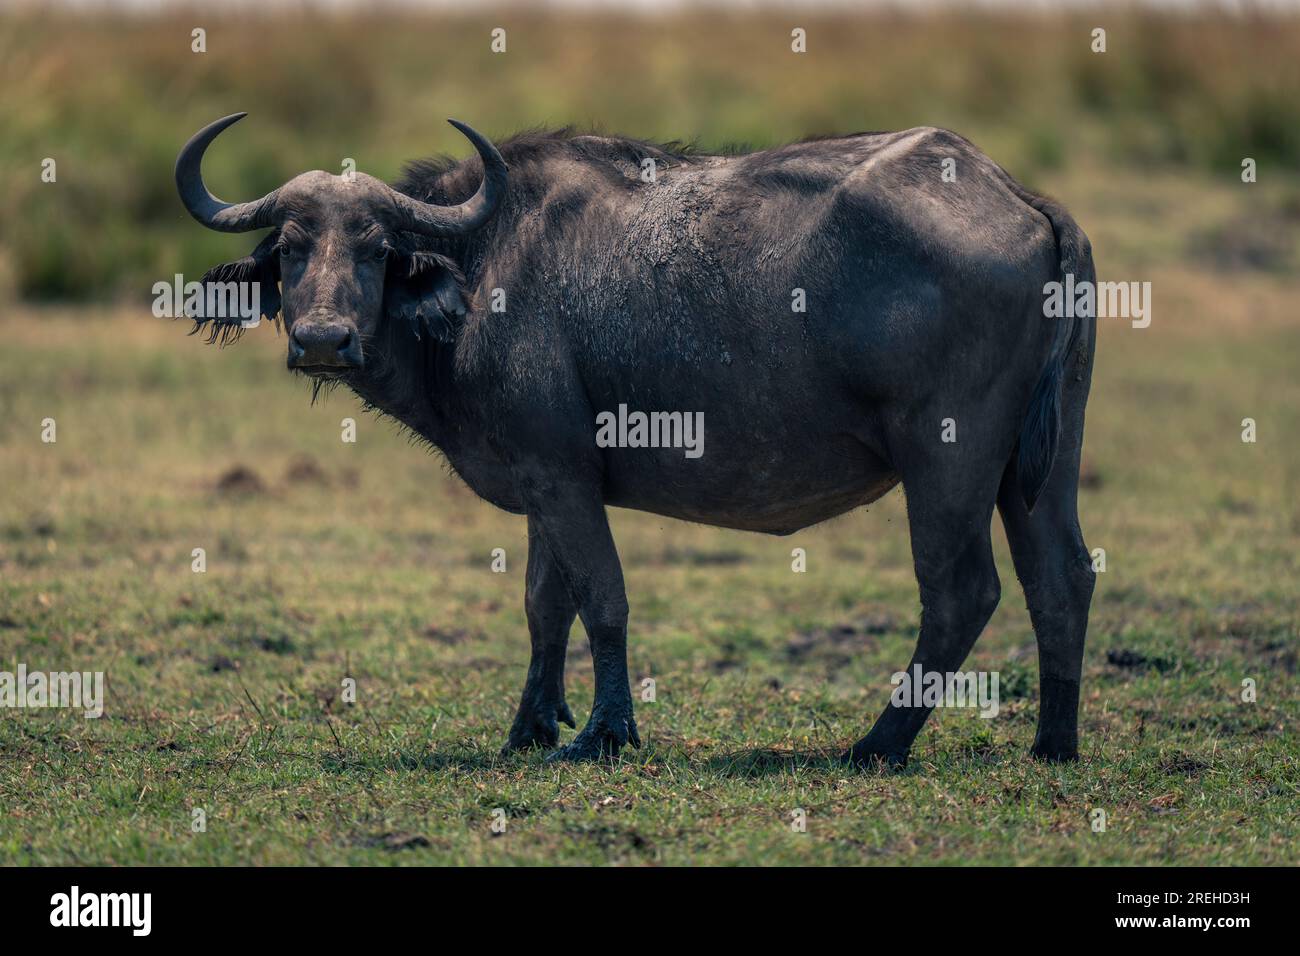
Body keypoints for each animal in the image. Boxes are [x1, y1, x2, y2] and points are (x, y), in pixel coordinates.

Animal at [175, 114, 1096, 766]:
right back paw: (1053, 742)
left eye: (374, 249)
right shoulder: (543, 480)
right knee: (1062, 577)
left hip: (946, 458)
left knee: (962, 591)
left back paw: (877, 744)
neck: (485, 267)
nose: (323, 339)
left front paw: (606, 732)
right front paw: (530, 727)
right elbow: (544, 606)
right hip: (1039, 468)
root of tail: (1016, 194)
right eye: (291, 249)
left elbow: (603, 599)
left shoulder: (562, 476)